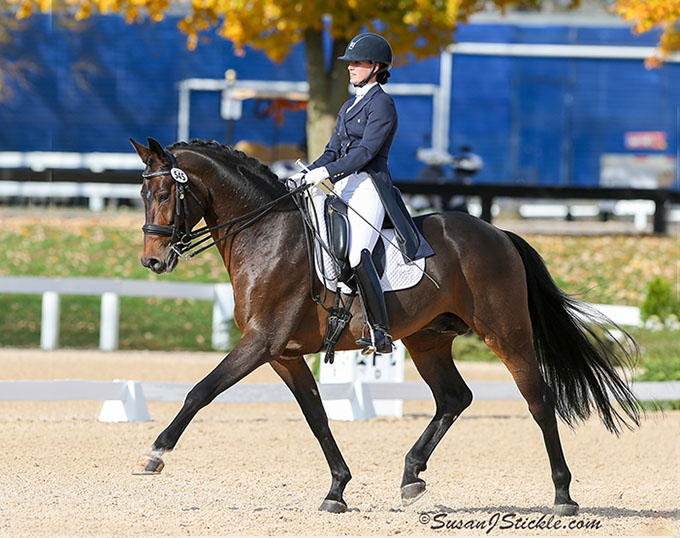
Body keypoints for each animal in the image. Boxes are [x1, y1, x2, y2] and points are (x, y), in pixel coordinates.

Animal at [129, 137, 640, 515]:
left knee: (538, 399)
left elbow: (200, 391)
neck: (266, 234)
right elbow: (316, 417)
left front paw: (154, 454)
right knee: (454, 398)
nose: (153, 261)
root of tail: (497, 233)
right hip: (427, 339)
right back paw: (412, 476)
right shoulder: (283, 354)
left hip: (506, 333)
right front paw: (337, 490)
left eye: (165, 194)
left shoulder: (260, 343)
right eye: (141, 194)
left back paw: (563, 495)